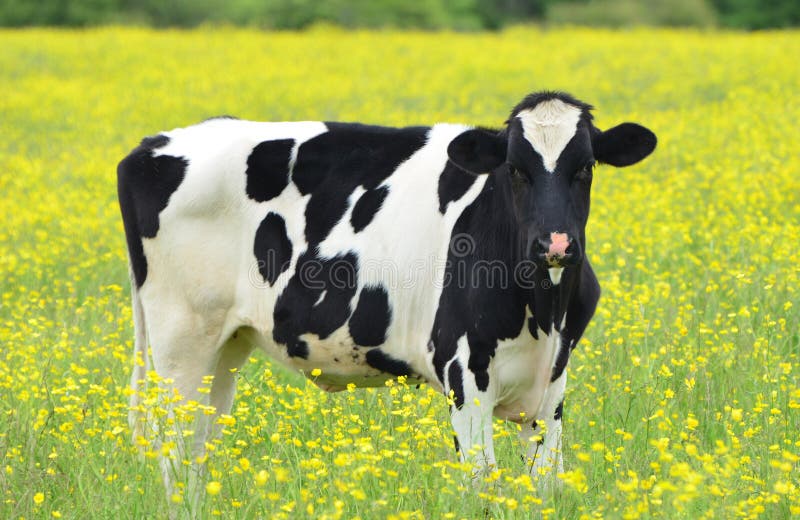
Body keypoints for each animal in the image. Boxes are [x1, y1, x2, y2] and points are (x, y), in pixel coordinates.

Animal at [118, 91, 656, 505]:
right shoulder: (463, 370)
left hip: (225, 344)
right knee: (174, 445)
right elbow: (481, 482)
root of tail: (156, 142)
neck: (543, 312)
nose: (556, 245)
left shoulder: (553, 382)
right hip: (179, 336)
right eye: (515, 169)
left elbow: (545, 484)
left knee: (200, 443)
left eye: (586, 167)